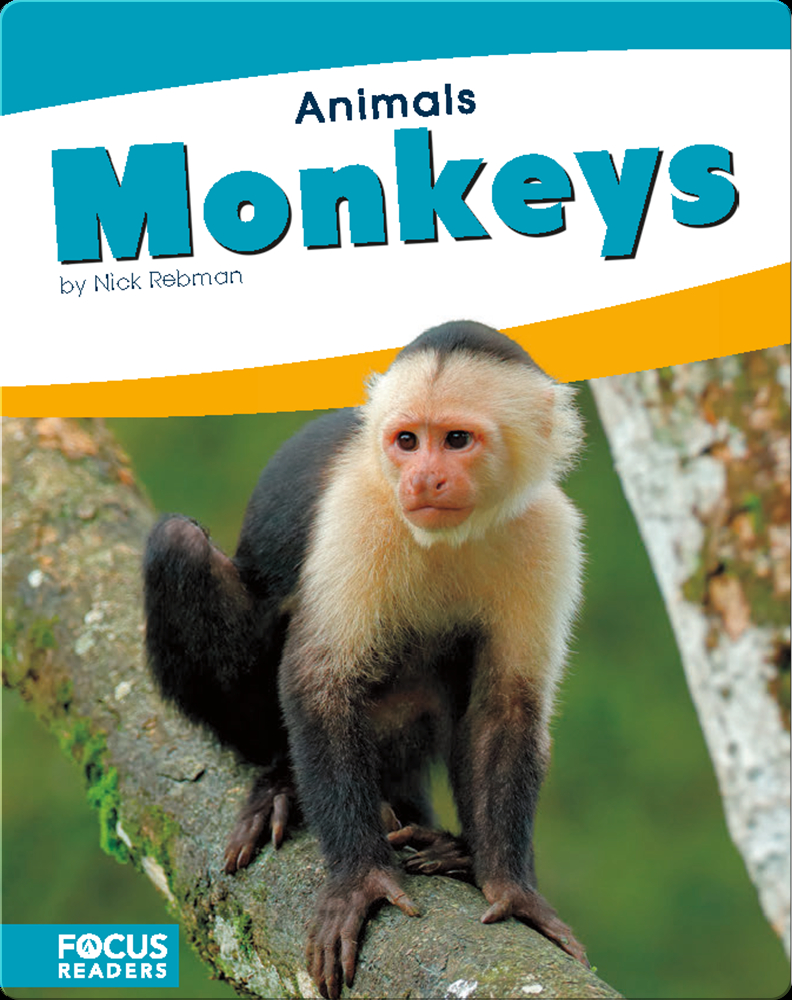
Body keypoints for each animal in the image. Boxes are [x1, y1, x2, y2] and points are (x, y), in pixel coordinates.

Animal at [143, 320, 586, 999]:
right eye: (407, 441)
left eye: (456, 440)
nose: (422, 479)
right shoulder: (359, 511)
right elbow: (318, 680)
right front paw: (360, 879)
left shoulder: (547, 531)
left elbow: (505, 708)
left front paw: (510, 886)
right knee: (180, 545)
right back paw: (281, 781)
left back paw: (452, 846)